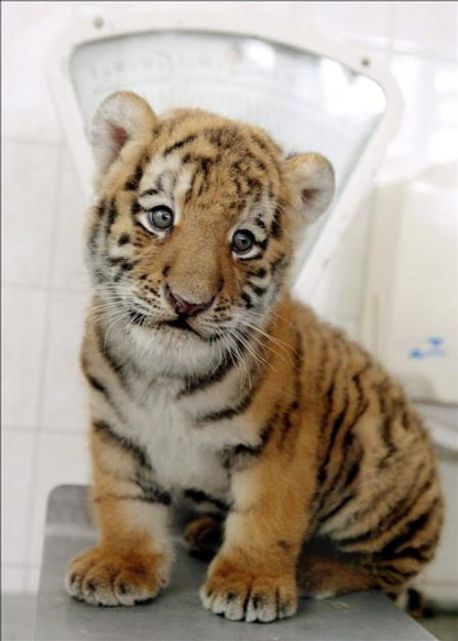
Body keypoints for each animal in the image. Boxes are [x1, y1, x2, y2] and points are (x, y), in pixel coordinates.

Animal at [65, 91, 443, 623]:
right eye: (161, 217)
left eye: (243, 242)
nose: (188, 303)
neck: (167, 378)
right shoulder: (115, 430)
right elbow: (122, 499)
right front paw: (120, 563)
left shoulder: (282, 440)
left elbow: (267, 515)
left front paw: (250, 583)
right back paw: (206, 532)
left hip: (379, 470)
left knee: (386, 569)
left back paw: (316, 571)